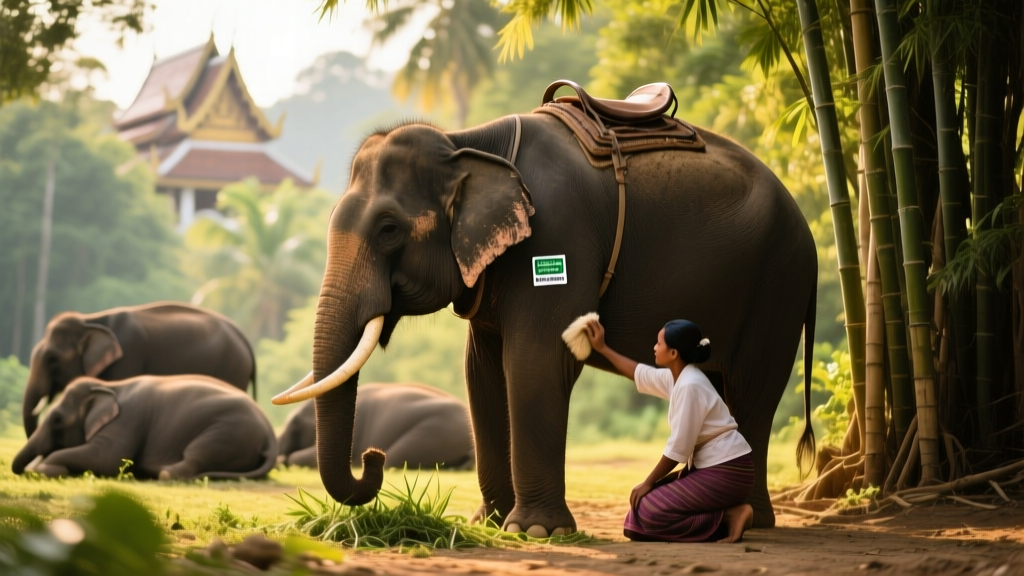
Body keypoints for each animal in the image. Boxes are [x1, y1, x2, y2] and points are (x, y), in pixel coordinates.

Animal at [12, 375, 276, 480]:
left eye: (56, 419)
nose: (21, 470)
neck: (109, 385)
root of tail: (270, 435)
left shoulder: (128, 421)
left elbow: (107, 458)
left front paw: (47, 468)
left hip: (228, 431)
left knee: (191, 459)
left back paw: (162, 472)